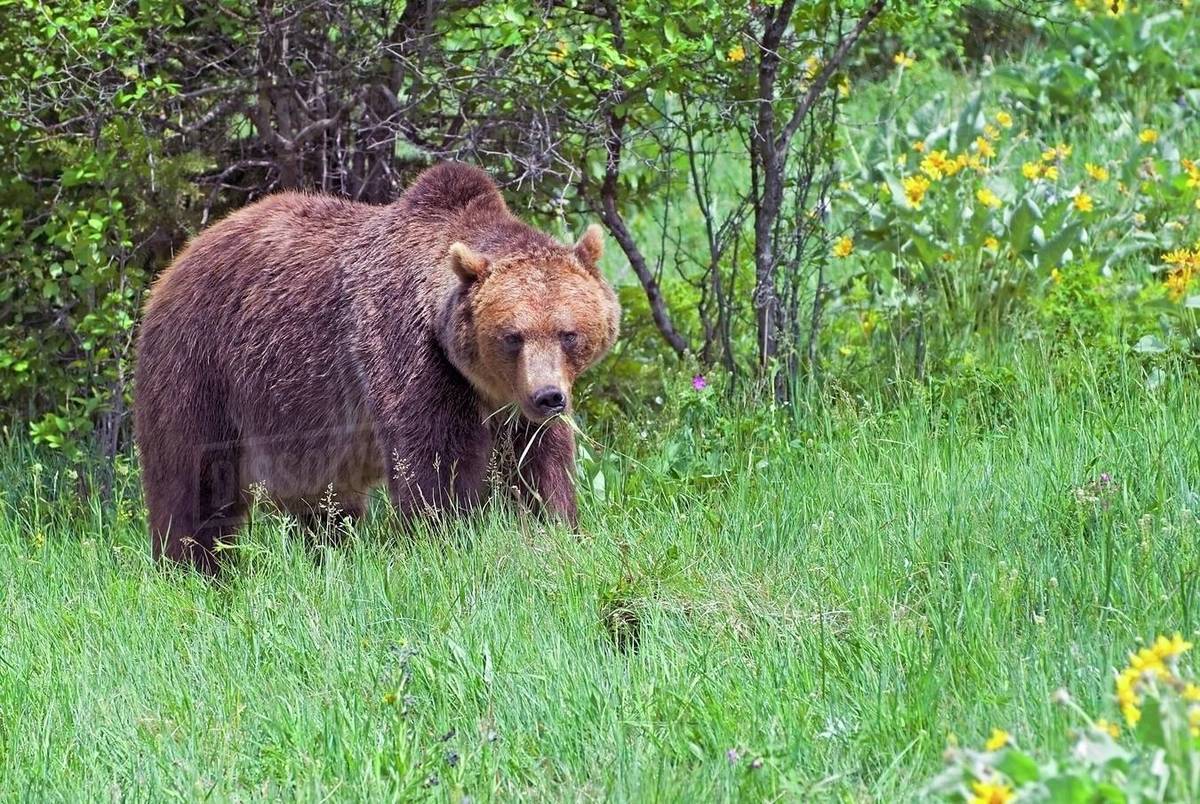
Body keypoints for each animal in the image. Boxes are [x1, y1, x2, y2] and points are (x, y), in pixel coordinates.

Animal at [133, 162, 620, 574]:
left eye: (568, 333)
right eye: (512, 336)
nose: (548, 397)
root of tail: (177, 262)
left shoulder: (512, 409)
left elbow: (539, 466)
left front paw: (555, 530)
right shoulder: (409, 353)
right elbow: (435, 463)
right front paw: (447, 540)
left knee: (326, 507)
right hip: (201, 367)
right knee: (195, 483)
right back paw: (194, 568)